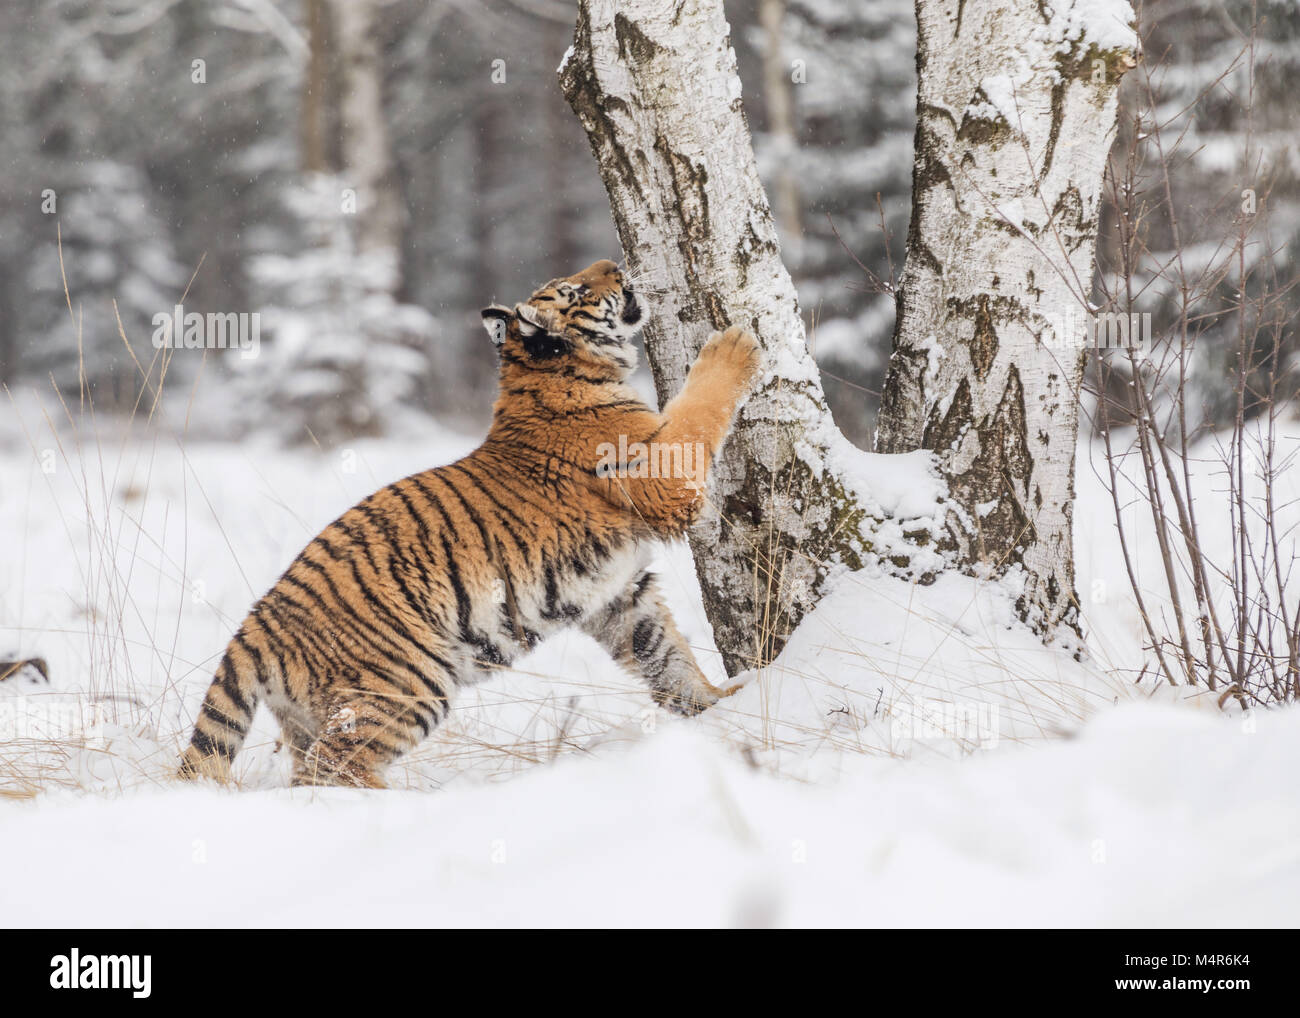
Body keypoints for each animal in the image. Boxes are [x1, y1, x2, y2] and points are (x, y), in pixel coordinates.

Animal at [178, 259, 763, 788]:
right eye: (577, 289)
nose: (616, 264)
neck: (550, 373)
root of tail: (254, 626)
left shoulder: (619, 595)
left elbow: (665, 657)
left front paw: (723, 703)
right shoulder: (663, 476)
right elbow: (698, 413)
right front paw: (733, 345)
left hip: (310, 715)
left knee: (309, 772)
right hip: (407, 682)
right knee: (335, 768)